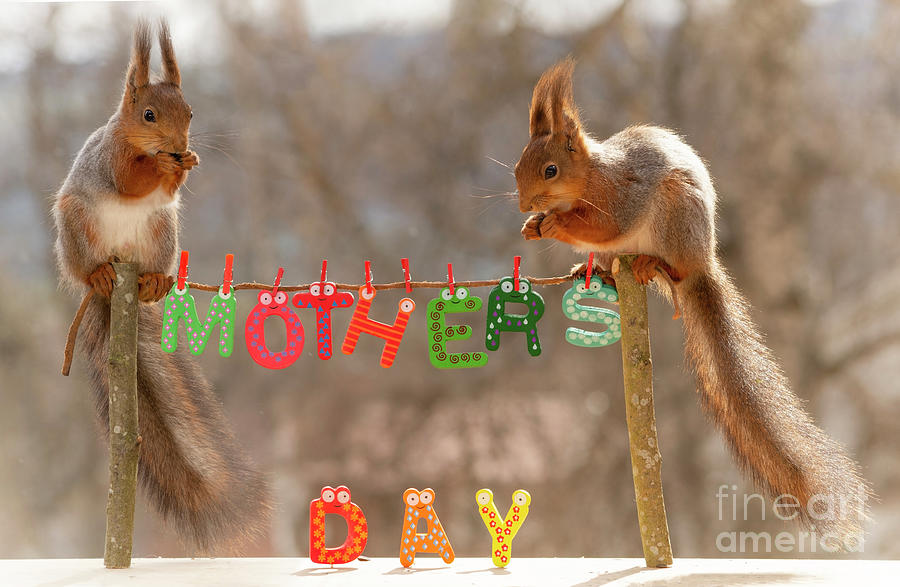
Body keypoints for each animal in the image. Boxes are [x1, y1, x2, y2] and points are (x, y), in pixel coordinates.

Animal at [52, 20, 270, 552]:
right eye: (148, 114)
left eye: (191, 111)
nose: (178, 145)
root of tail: (121, 269)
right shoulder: (110, 158)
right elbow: (129, 179)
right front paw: (164, 166)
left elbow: (164, 189)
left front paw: (186, 162)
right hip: (76, 227)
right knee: (87, 265)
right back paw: (97, 273)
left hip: (161, 232)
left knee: (154, 258)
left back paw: (153, 279)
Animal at [516, 58, 869, 542]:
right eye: (519, 165)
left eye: (550, 170)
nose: (522, 203)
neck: (589, 177)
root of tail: (703, 260)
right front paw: (534, 226)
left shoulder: (622, 194)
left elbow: (604, 225)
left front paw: (553, 224)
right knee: (610, 263)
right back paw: (595, 271)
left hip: (676, 215)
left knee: (671, 265)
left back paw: (652, 264)